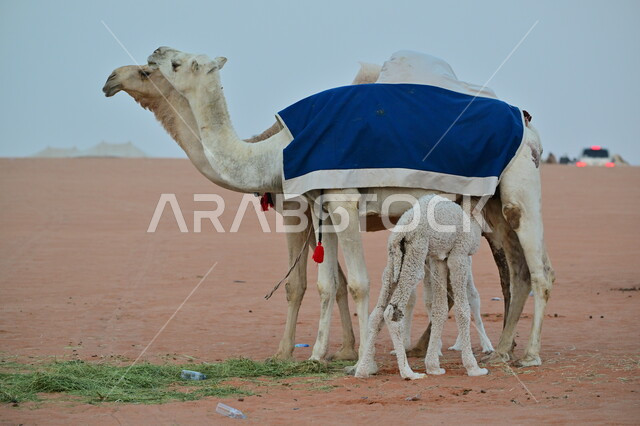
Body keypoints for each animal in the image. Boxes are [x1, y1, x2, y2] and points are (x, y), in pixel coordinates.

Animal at [355, 194, 488, 379]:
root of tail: (400, 233)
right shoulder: (459, 255)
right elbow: (462, 309)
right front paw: (473, 368)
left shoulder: (440, 258)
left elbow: (440, 309)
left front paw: (433, 367)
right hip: (415, 255)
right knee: (392, 312)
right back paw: (408, 373)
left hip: (393, 264)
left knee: (377, 313)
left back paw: (362, 370)